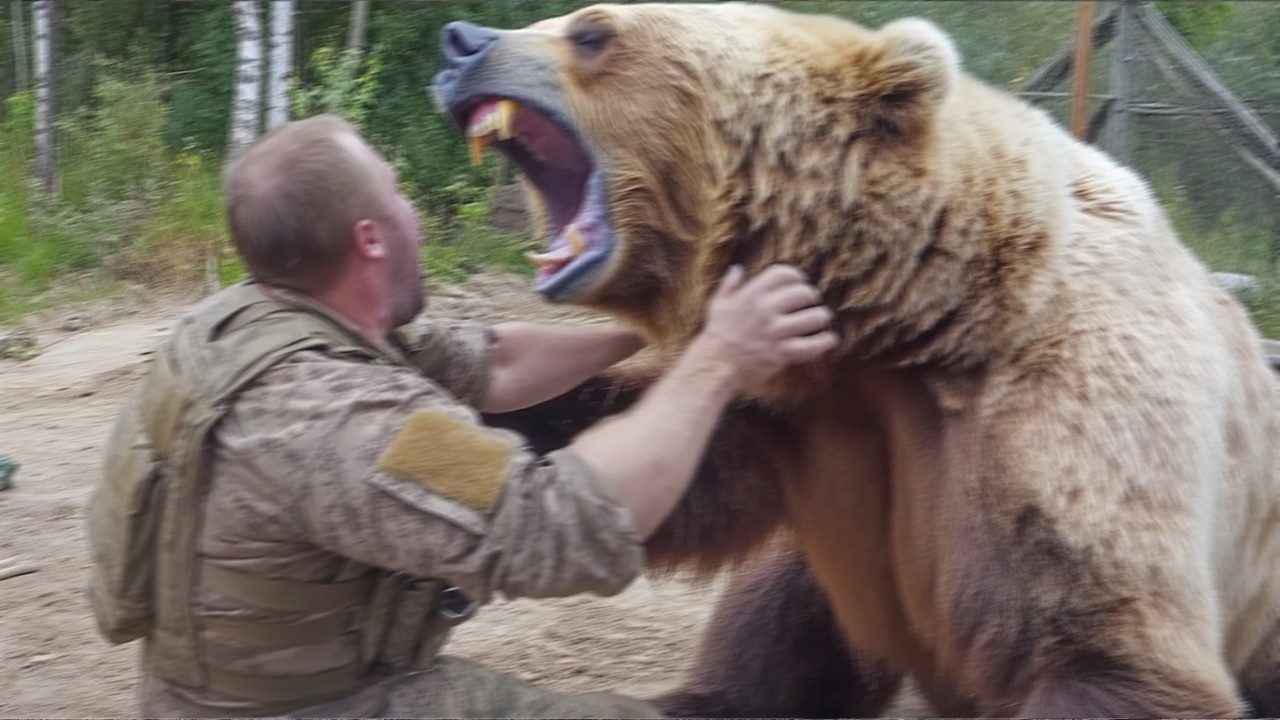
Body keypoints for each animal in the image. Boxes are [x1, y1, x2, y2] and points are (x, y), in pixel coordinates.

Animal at [431, 3, 1280, 717]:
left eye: (593, 31)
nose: (462, 41)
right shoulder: (799, 415)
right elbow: (650, 467)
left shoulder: (1064, 415)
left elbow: (1102, 645)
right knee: (787, 611)